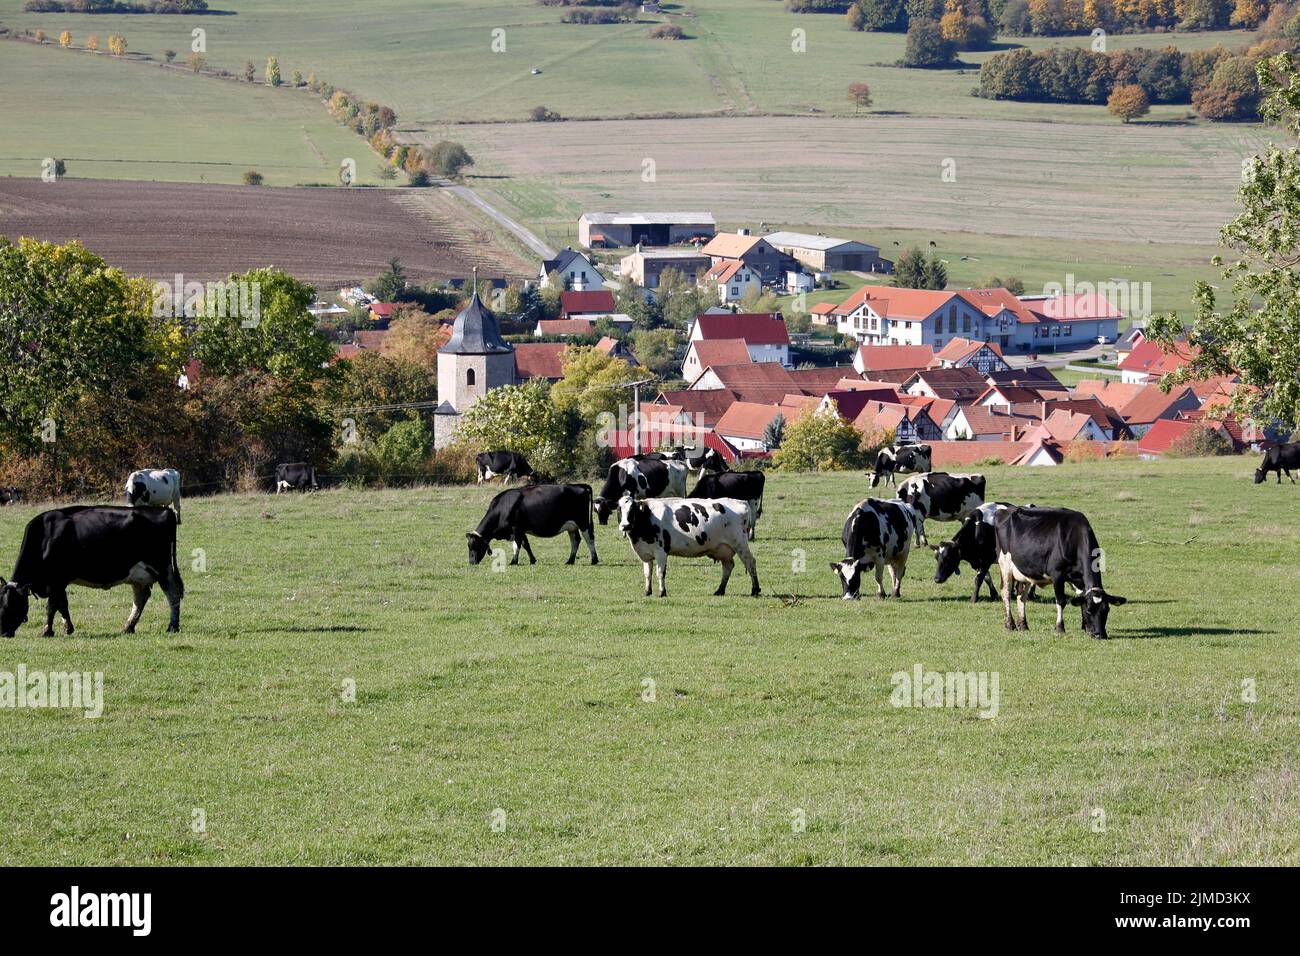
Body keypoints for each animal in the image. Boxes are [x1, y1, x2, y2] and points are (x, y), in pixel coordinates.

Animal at [0, 506, 183, 637]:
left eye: (11, 605)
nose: (3, 633)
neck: (45, 537)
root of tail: (165, 510)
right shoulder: (59, 583)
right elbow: (62, 604)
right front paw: (68, 628)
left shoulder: (57, 580)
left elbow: (51, 606)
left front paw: (47, 631)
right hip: (139, 575)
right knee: (140, 599)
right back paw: (128, 627)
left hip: (163, 568)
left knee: (172, 594)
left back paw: (172, 627)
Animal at [467, 483, 597, 566]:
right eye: (469, 546)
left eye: (474, 545)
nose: (471, 562)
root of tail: (579, 486)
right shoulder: (521, 530)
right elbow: (526, 545)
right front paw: (532, 560)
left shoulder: (516, 528)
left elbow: (517, 545)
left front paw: (514, 561)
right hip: (572, 526)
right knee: (575, 540)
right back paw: (570, 561)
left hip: (583, 522)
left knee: (589, 539)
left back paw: (594, 560)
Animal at [616, 494, 759, 598]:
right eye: (619, 510)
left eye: (632, 510)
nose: (625, 525)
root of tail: (741, 502)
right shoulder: (645, 553)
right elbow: (647, 573)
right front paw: (647, 591)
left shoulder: (661, 551)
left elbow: (660, 573)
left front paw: (662, 592)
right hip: (723, 549)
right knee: (728, 566)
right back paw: (720, 590)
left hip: (740, 543)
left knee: (750, 563)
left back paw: (755, 589)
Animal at [994, 506, 1126, 638]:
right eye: (1090, 610)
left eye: (1106, 610)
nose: (1100, 635)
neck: (1075, 537)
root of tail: (1006, 510)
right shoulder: (1057, 575)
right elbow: (1061, 601)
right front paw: (1060, 628)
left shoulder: (1080, 580)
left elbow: (1081, 600)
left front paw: (1087, 628)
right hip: (1005, 565)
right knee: (1006, 593)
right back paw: (1010, 624)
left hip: (1025, 570)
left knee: (1021, 596)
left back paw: (1023, 625)